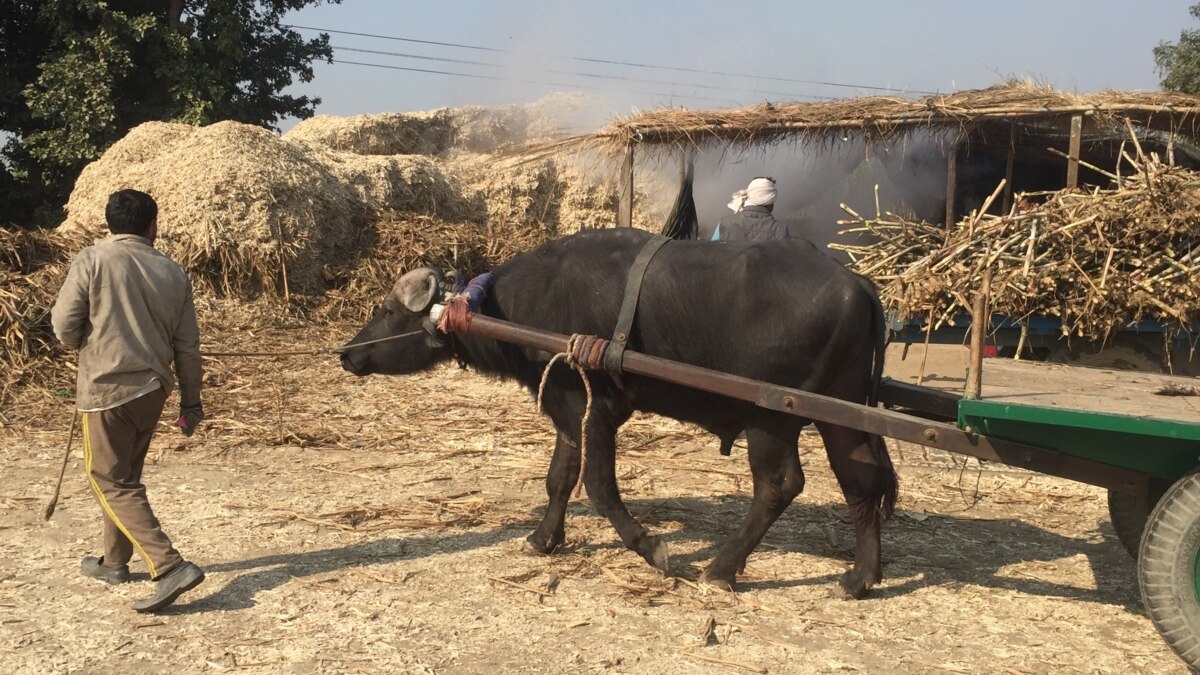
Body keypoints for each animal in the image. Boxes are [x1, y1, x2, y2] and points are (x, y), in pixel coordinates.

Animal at [340, 227, 897, 598]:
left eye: (387, 311)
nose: (347, 353)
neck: (512, 308)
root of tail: (858, 284)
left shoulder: (596, 413)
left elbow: (600, 486)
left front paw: (653, 550)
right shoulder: (568, 409)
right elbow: (560, 478)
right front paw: (543, 539)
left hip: (773, 417)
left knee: (779, 485)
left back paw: (721, 568)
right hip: (841, 416)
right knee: (861, 482)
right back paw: (859, 577)